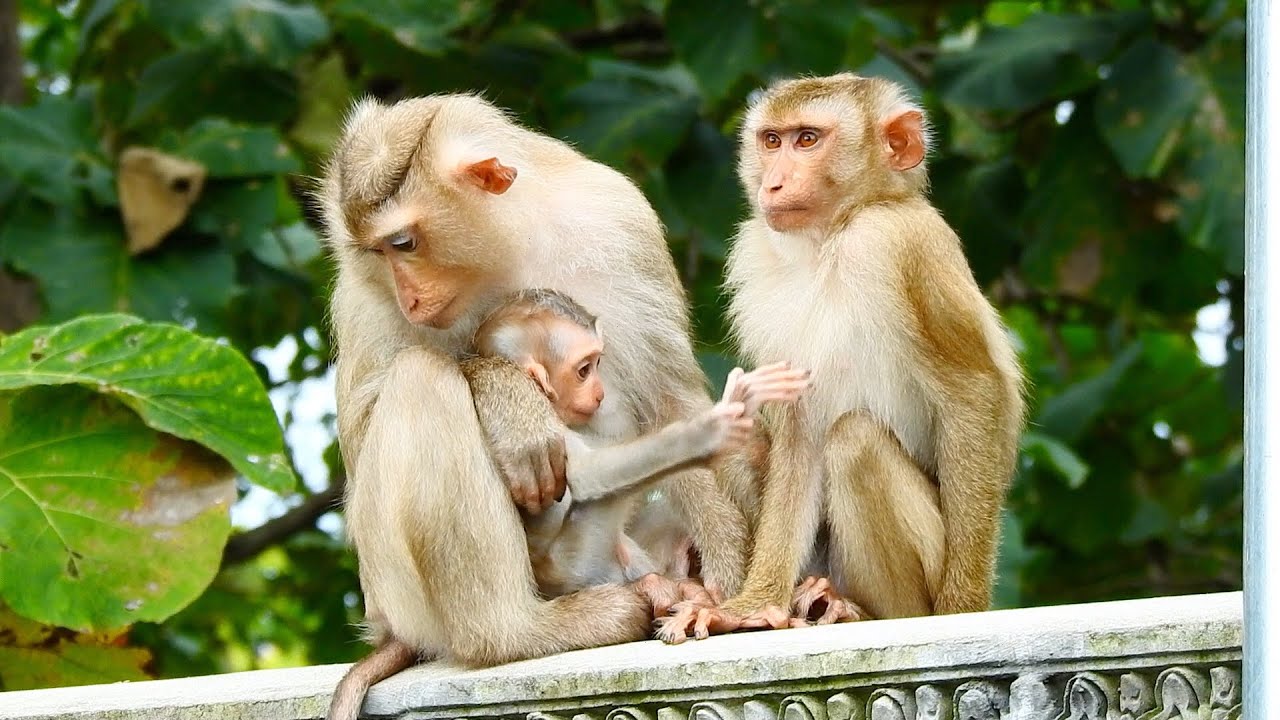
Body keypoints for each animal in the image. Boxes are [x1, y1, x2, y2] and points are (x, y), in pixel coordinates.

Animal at [320, 93, 766, 720]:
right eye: (378, 251)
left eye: (403, 243)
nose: (407, 297)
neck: (506, 246)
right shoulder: (359, 287)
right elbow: (364, 432)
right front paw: (511, 402)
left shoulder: (620, 222)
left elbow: (669, 398)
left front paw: (728, 585)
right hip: (400, 597)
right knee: (420, 380)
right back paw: (517, 632)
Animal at [464, 288, 812, 596]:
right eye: (584, 370)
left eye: (598, 364)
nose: (600, 393)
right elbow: (588, 473)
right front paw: (709, 433)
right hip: (578, 563)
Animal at [657, 73, 1026, 642]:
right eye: (772, 141)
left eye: (808, 140)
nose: (774, 183)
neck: (832, 238)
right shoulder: (758, 259)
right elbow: (799, 436)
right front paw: (751, 605)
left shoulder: (900, 245)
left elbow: (975, 393)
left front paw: (962, 609)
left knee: (855, 441)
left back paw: (867, 611)